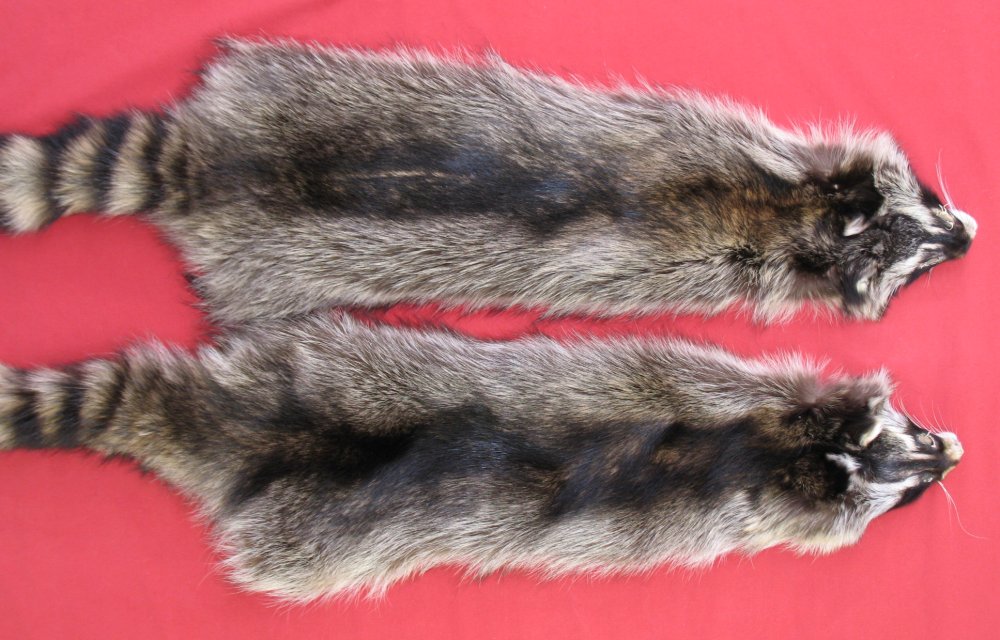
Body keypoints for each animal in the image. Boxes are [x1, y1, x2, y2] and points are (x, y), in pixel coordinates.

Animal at [0, 40, 976, 324]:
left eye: (928, 207)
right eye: (916, 261)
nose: (970, 235)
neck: (788, 209)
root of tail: (215, 160)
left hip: (281, 77)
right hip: (272, 266)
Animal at [0, 313, 963, 600]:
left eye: (914, 436)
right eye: (908, 481)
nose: (954, 449)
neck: (761, 450)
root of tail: (247, 427)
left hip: (320, 352)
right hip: (307, 545)